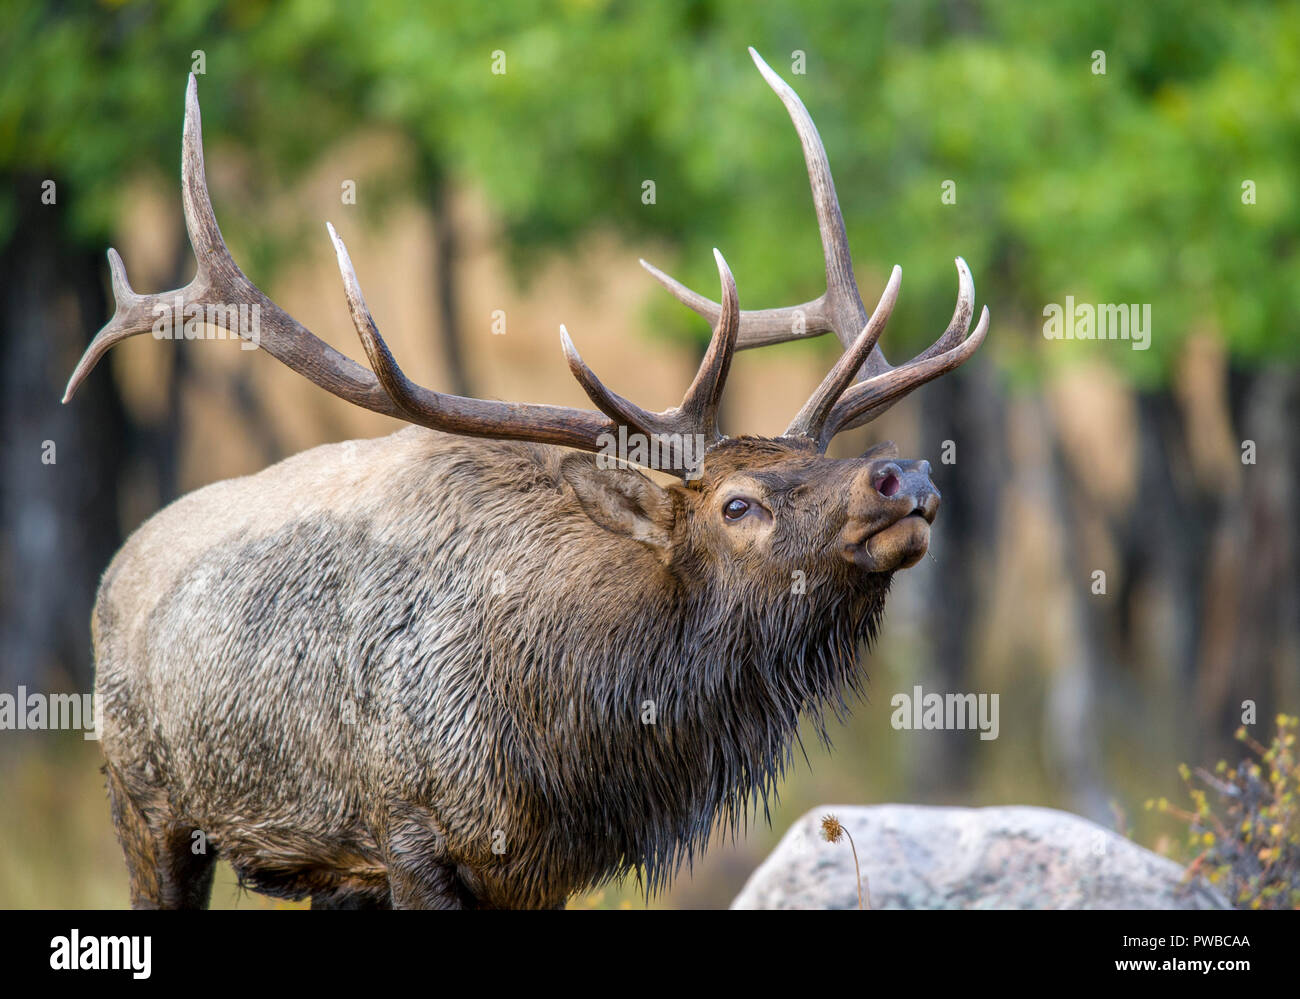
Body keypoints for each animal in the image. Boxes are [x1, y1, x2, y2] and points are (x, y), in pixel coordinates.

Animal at [63, 49, 988, 909]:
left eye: (817, 462)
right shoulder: (409, 832)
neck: (568, 745)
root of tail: (119, 565)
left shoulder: (535, 873)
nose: (899, 474)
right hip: (146, 801)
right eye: (738, 504)